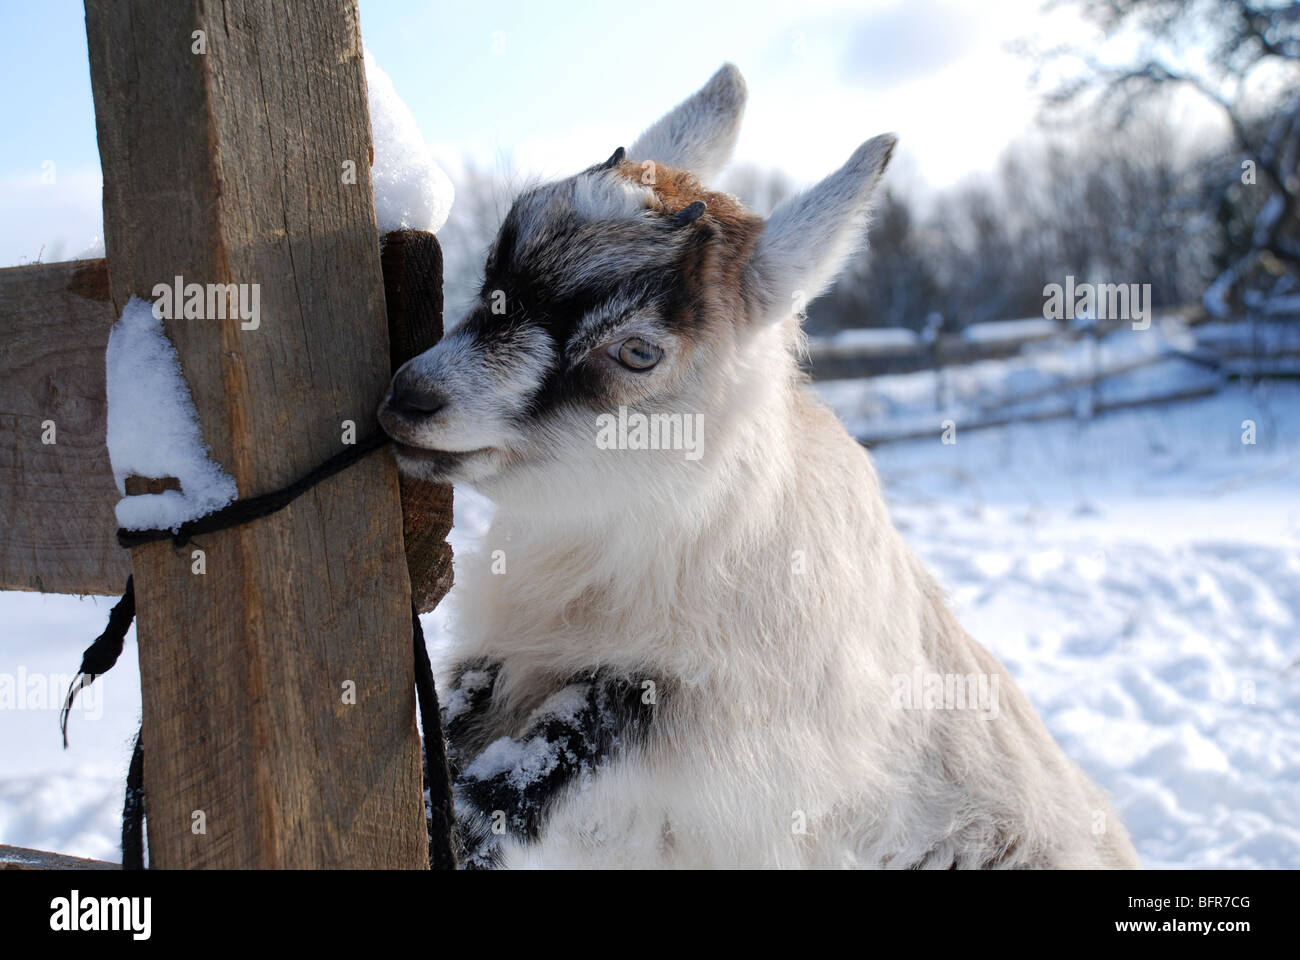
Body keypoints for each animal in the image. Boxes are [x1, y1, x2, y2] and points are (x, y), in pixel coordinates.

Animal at [378, 64, 1140, 869]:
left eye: (638, 350)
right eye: (498, 258)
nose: (410, 398)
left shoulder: (714, 746)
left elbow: (559, 749)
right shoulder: (505, 657)